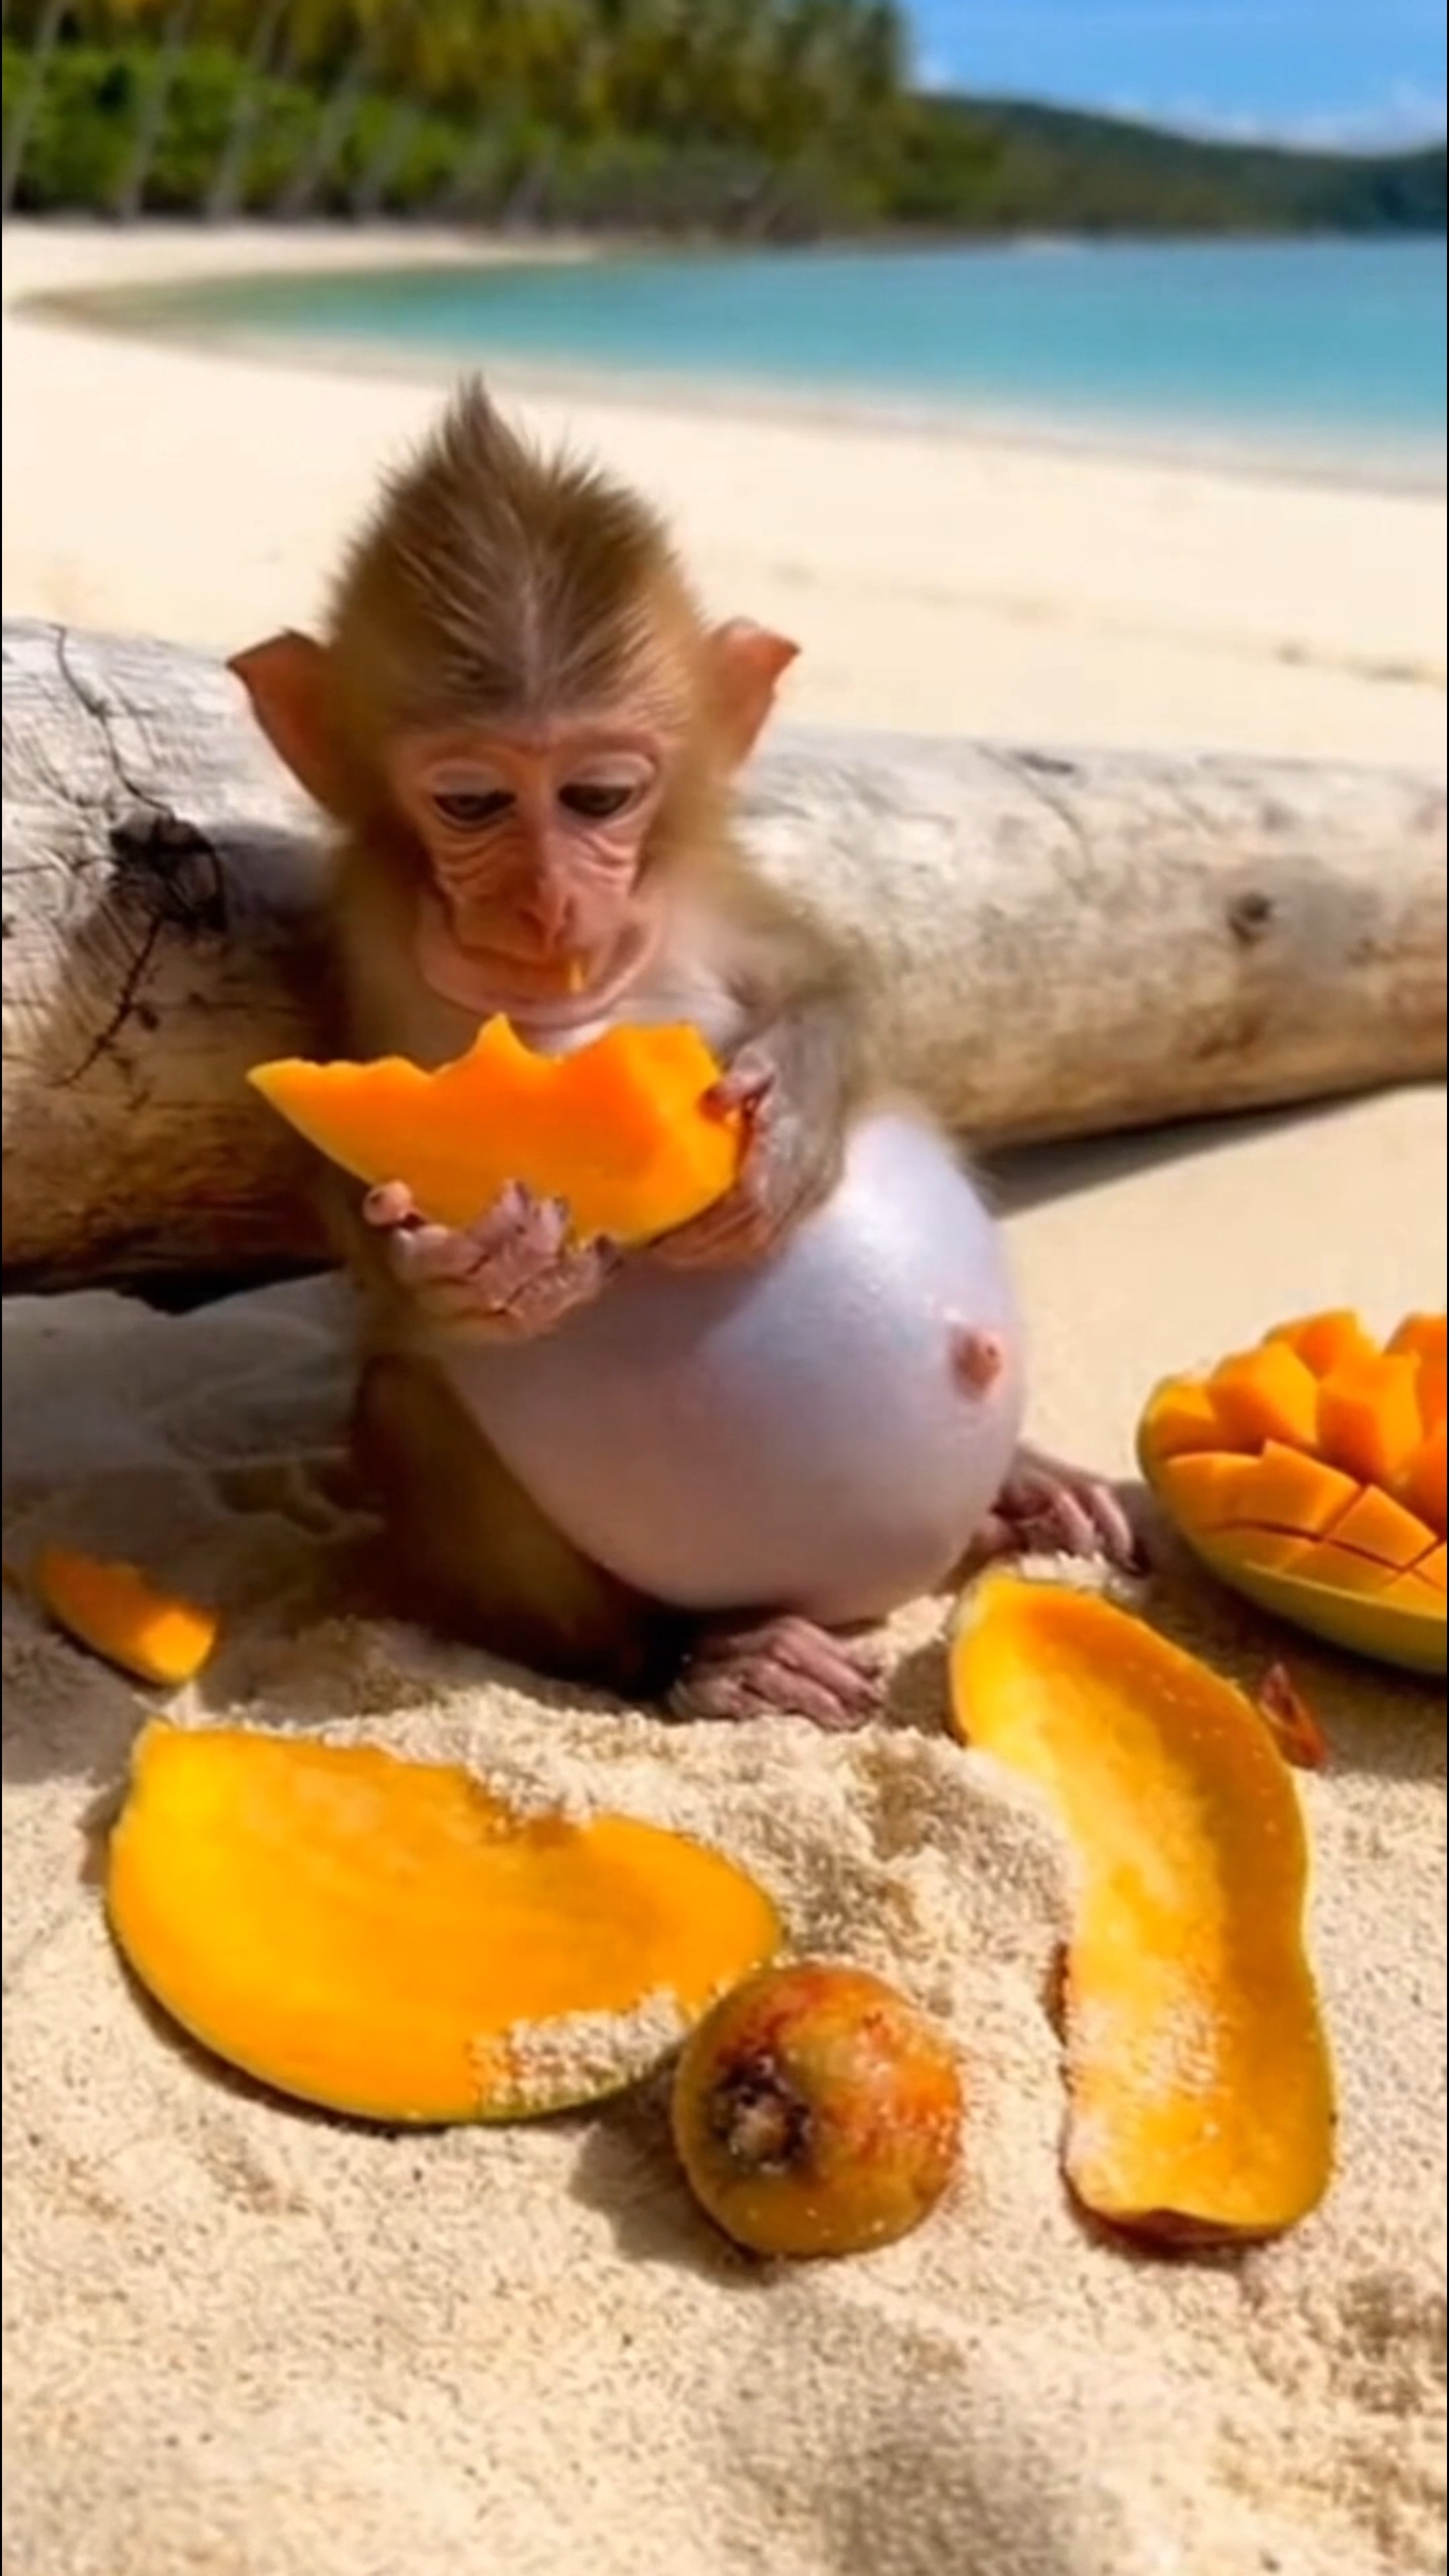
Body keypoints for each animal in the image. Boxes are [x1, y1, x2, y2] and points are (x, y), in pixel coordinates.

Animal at [231, 380, 1137, 1732]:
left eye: (600, 798)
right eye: (472, 804)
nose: (549, 905)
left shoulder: (706, 899)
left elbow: (840, 983)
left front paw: (794, 1127)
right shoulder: (349, 959)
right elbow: (341, 1203)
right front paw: (472, 1272)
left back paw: (1021, 1491)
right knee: (410, 1412)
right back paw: (704, 1654)